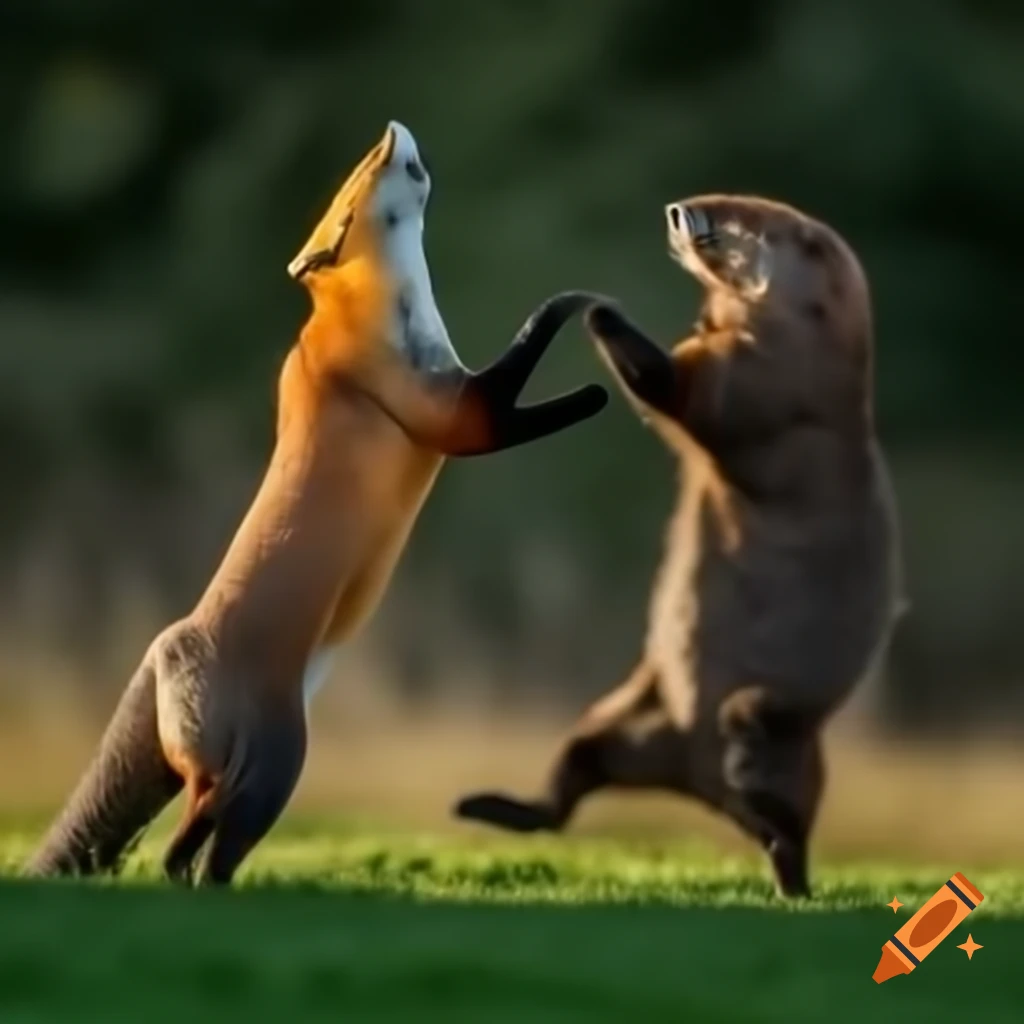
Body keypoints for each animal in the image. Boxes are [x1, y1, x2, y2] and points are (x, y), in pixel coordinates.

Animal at [25, 120, 609, 886]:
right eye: (359, 193)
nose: (392, 131)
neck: (359, 319)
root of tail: (172, 642)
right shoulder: (461, 414)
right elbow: (542, 340)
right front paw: (592, 335)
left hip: (253, 778)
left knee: (197, 842)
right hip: (276, 769)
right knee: (198, 831)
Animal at [455, 194, 906, 898]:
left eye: (760, 219)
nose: (680, 210)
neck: (825, 334)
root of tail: (700, 785)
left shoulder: (776, 379)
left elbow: (690, 387)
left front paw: (594, 302)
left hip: (783, 724)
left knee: (772, 773)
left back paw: (773, 828)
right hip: (623, 724)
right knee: (567, 785)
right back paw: (480, 805)